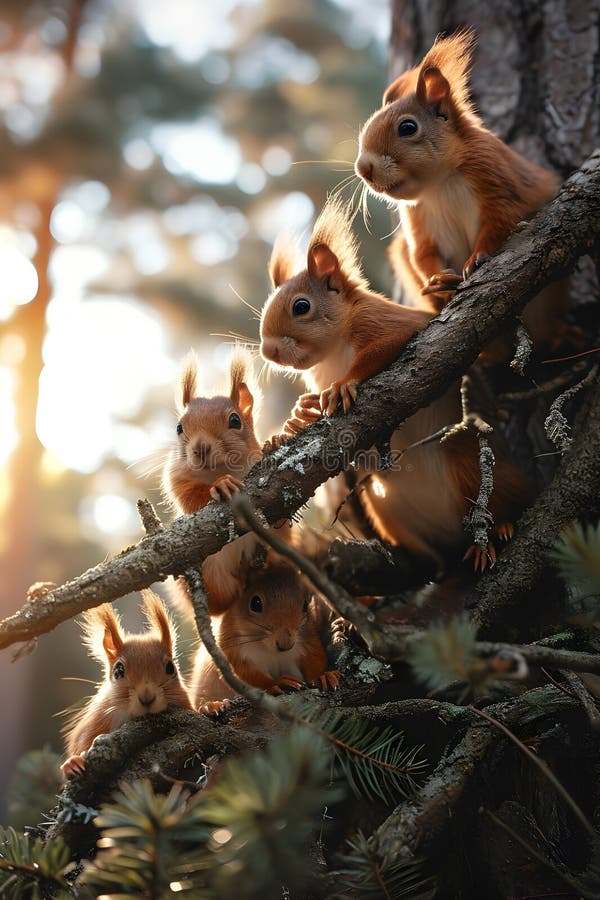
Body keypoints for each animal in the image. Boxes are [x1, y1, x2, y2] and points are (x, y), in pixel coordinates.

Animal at [61, 591, 192, 778]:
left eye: (170, 667)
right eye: (118, 671)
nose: (147, 698)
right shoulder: (100, 717)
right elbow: (82, 740)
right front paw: (72, 763)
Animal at [192, 561, 340, 714]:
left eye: (305, 605)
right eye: (255, 603)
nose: (285, 645)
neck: (269, 649)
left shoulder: (307, 637)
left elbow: (315, 657)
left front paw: (322, 676)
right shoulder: (232, 645)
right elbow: (247, 673)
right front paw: (277, 683)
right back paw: (210, 705)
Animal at [260, 197, 529, 571]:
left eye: (301, 306)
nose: (267, 351)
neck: (330, 356)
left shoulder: (388, 323)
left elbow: (386, 345)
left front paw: (342, 385)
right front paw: (296, 419)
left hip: (470, 462)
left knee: (504, 495)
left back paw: (496, 530)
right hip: (383, 504)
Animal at [354, 29, 567, 343]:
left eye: (407, 128)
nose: (363, 169)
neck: (440, 183)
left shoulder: (495, 176)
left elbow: (503, 219)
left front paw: (477, 259)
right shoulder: (417, 217)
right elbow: (423, 254)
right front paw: (437, 280)